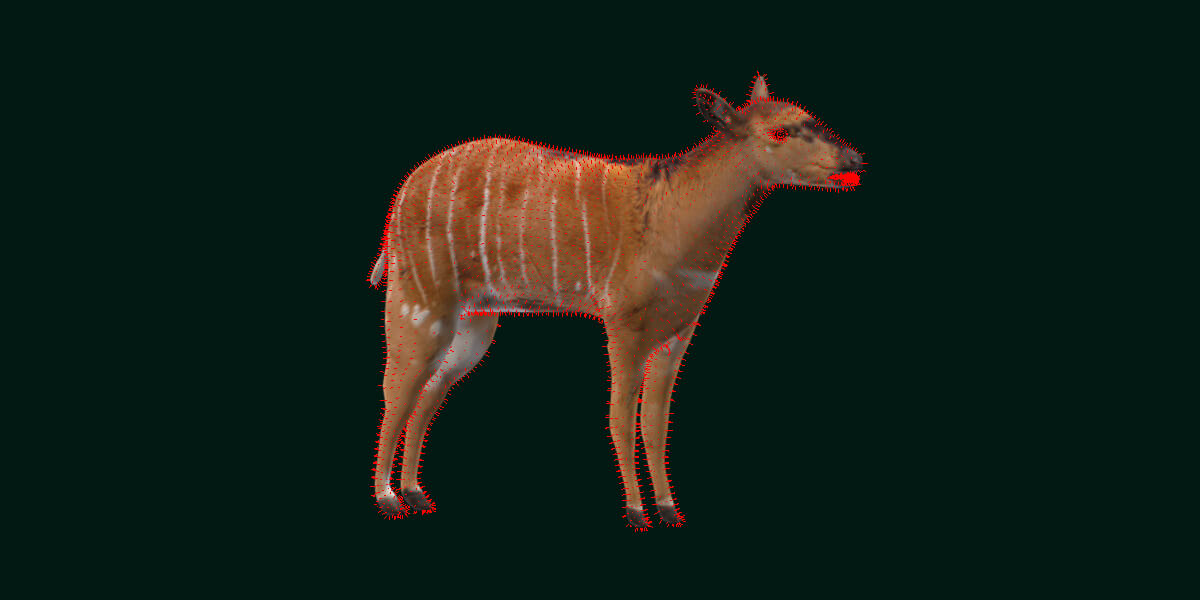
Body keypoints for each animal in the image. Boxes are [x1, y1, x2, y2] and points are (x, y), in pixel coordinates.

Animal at [370, 74, 864, 528]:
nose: (852, 159)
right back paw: (389, 498)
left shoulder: (678, 330)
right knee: (398, 386)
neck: (675, 225)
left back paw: (415, 493)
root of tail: (402, 196)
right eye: (781, 131)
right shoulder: (624, 321)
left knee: (430, 388)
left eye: (810, 118)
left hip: (477, 316)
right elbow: (621, 418)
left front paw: (668, 508)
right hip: (419, 299)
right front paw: (637, 511)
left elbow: (657, 421)